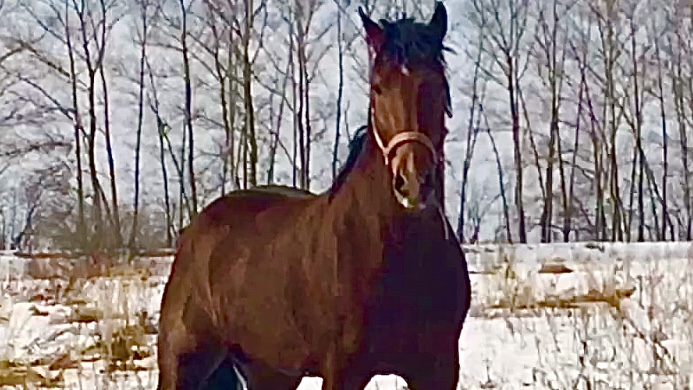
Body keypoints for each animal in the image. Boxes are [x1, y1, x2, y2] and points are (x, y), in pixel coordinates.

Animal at [157, 2, 470, 386]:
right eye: (378, 88)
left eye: (437, 84)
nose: (412, 181)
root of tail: (197, 230)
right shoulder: (342, 370)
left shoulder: (439, 370)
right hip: (182, 364)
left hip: (270, 371)